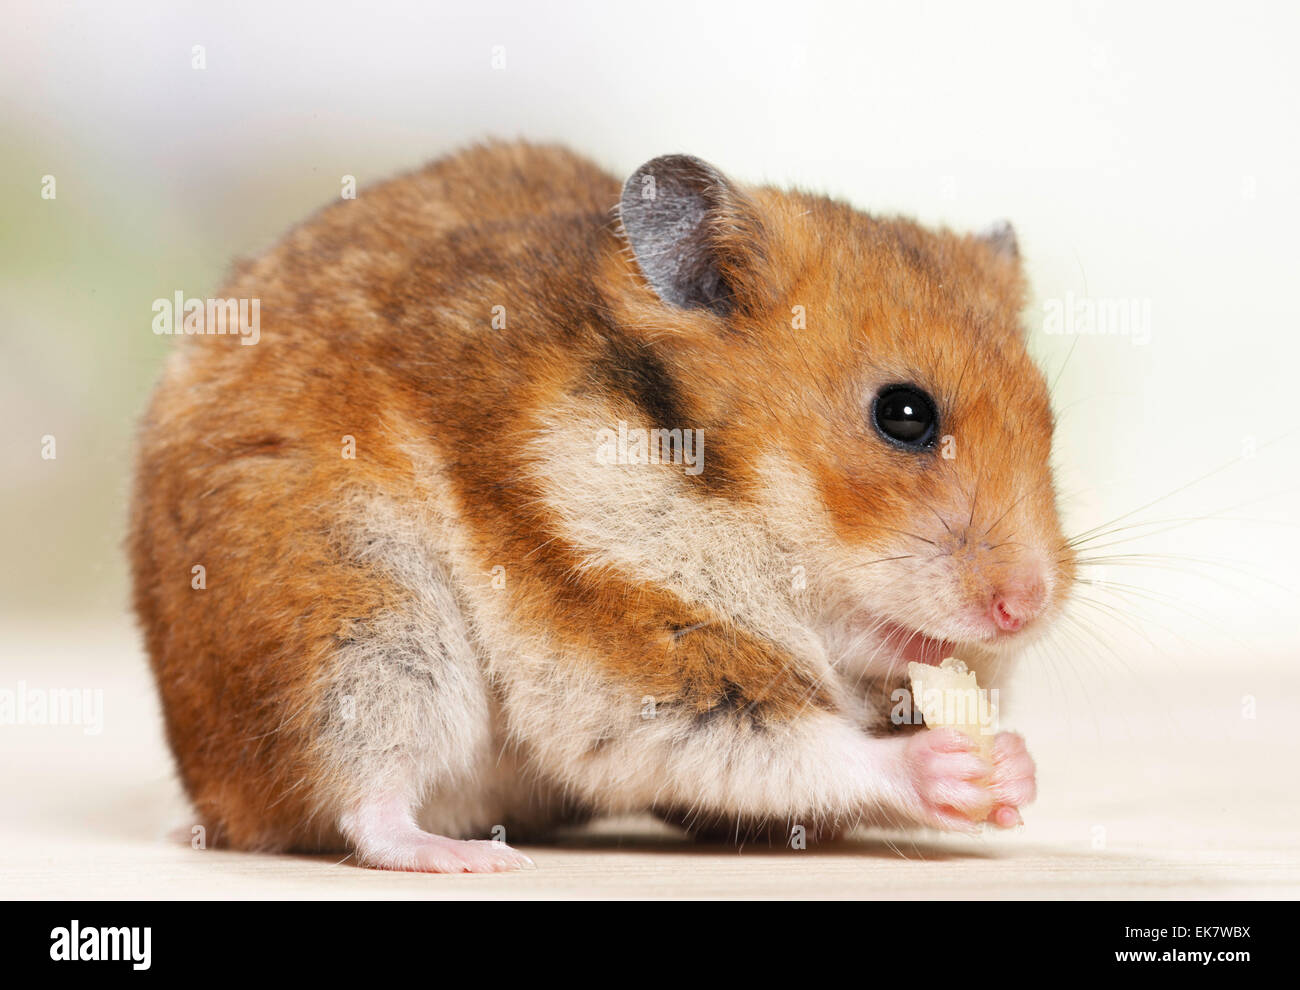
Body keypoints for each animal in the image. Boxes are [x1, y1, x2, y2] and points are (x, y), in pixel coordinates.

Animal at [129, 141, 1072, 872]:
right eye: (903, 415)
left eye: (1048, 420)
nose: (1025, 609)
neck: (725, 502)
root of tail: (219, 803)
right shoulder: (643, 668)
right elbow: (803, 750)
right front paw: (953, 766)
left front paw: (1017, 768)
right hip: (362, 624)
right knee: (364, 803)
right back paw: (468, 859)